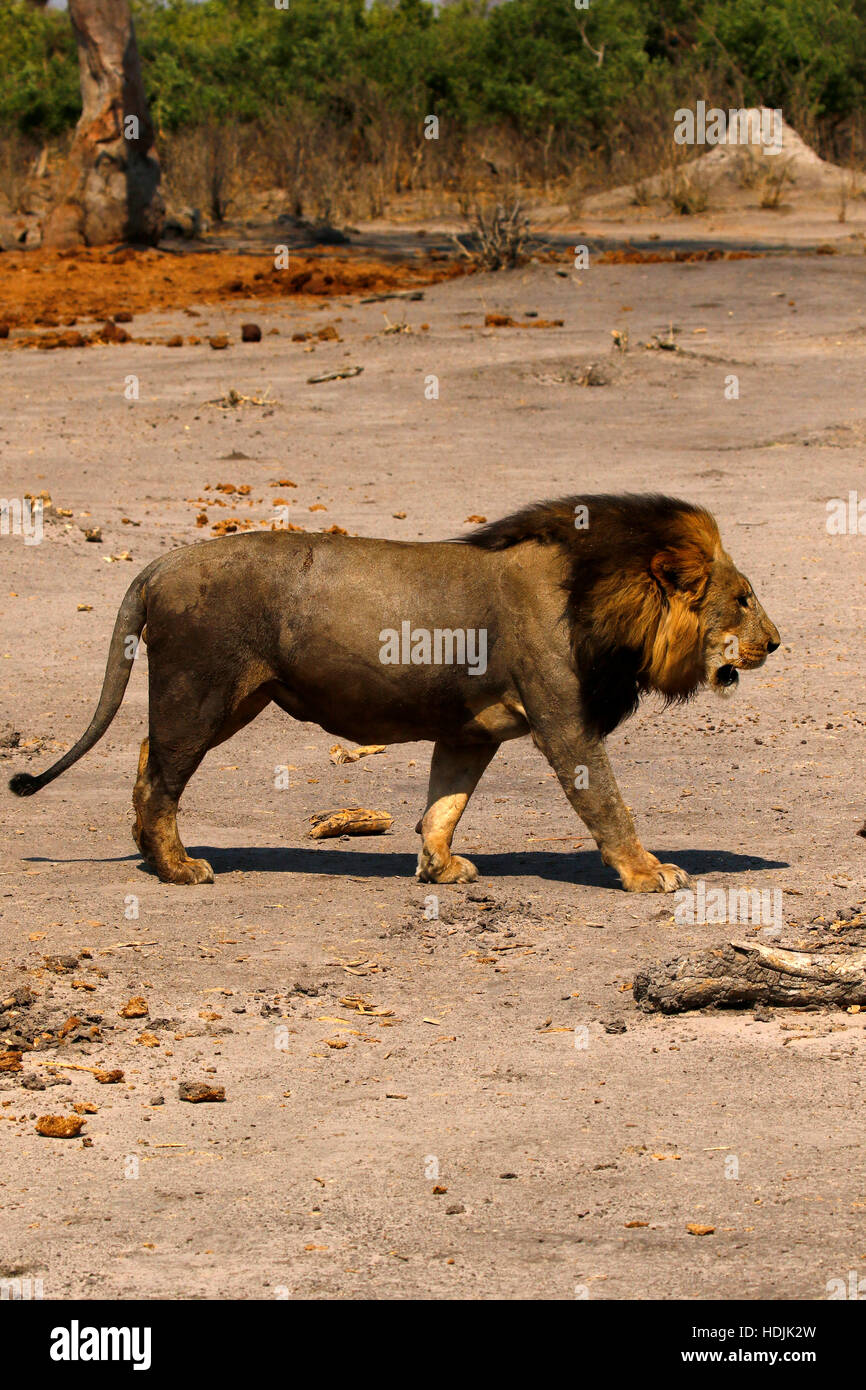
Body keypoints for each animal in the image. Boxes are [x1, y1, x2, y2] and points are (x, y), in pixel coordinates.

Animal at [8, 493, 779, 893]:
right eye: (742, 600)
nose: (775, 642)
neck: (603, 594)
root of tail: (159, 564)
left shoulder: (469, 729)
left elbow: (445, 804)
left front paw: (439, 868)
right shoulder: (567, 723)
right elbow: (609, 806)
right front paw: (649, 873)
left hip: (234, 699)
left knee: (145, 758)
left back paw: (151, 856)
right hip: (201, 691)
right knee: (161, 775)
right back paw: (177, 868)